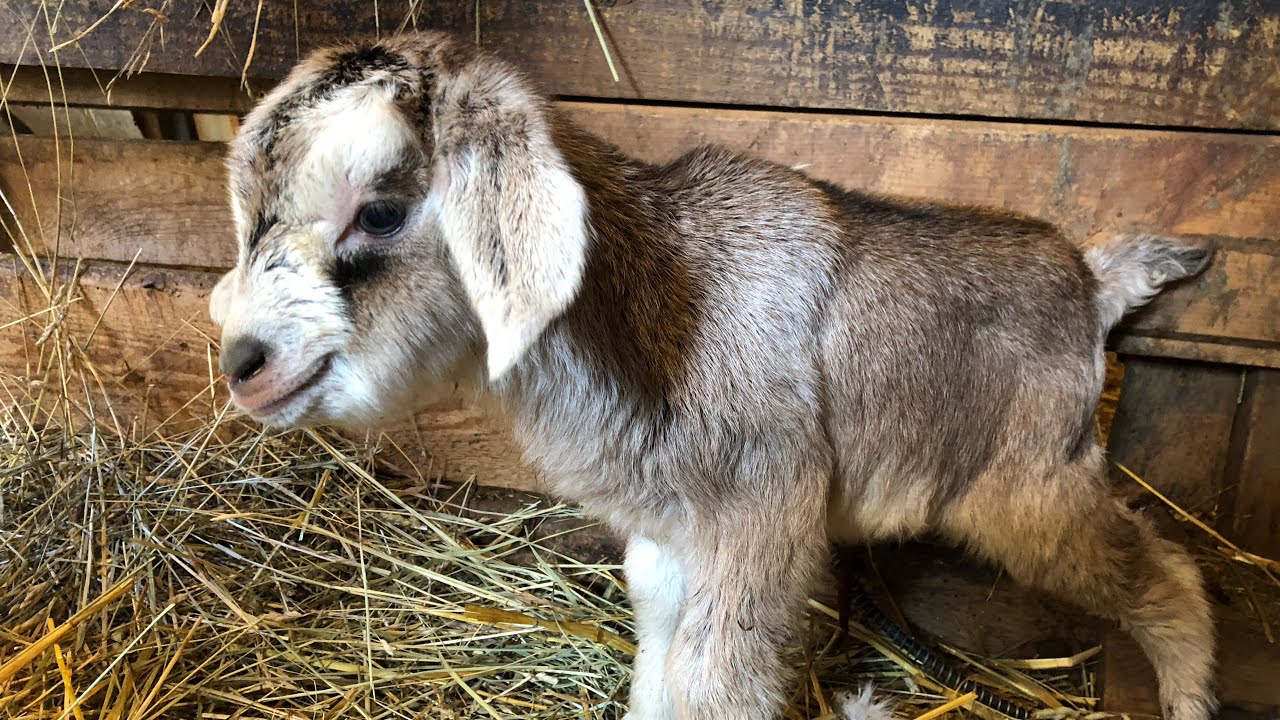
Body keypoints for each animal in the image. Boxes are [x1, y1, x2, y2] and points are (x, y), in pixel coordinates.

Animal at [209, 31, 1216, 720]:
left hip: (1033, 481)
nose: (242, 363)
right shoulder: (672, 533)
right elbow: (663, 652)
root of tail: (1089, 279)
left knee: (1165, 572)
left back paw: (1188, 692)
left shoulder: (764, 513)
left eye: (378, 212)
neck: (662, 308)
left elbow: (718, 680)